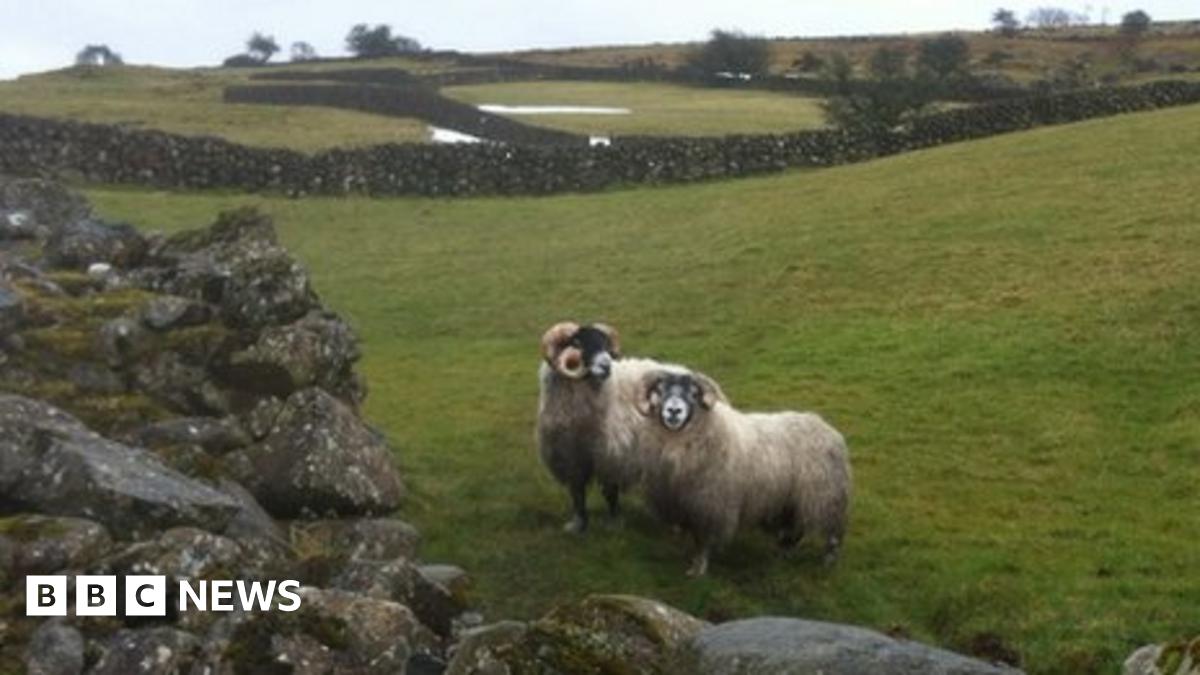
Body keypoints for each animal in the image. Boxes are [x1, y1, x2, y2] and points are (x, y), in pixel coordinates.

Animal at [634, 369, 851, 576]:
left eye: (694, 394)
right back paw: (783, 553)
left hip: (826, 496)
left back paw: (828, 561)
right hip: (792, 498)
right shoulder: (683, 503)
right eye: (660, 390)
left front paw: (698, 568)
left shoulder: (710, 506)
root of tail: (828, 429)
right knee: (795, 528)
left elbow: (702, 540)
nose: (673, 411)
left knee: (833, 534)